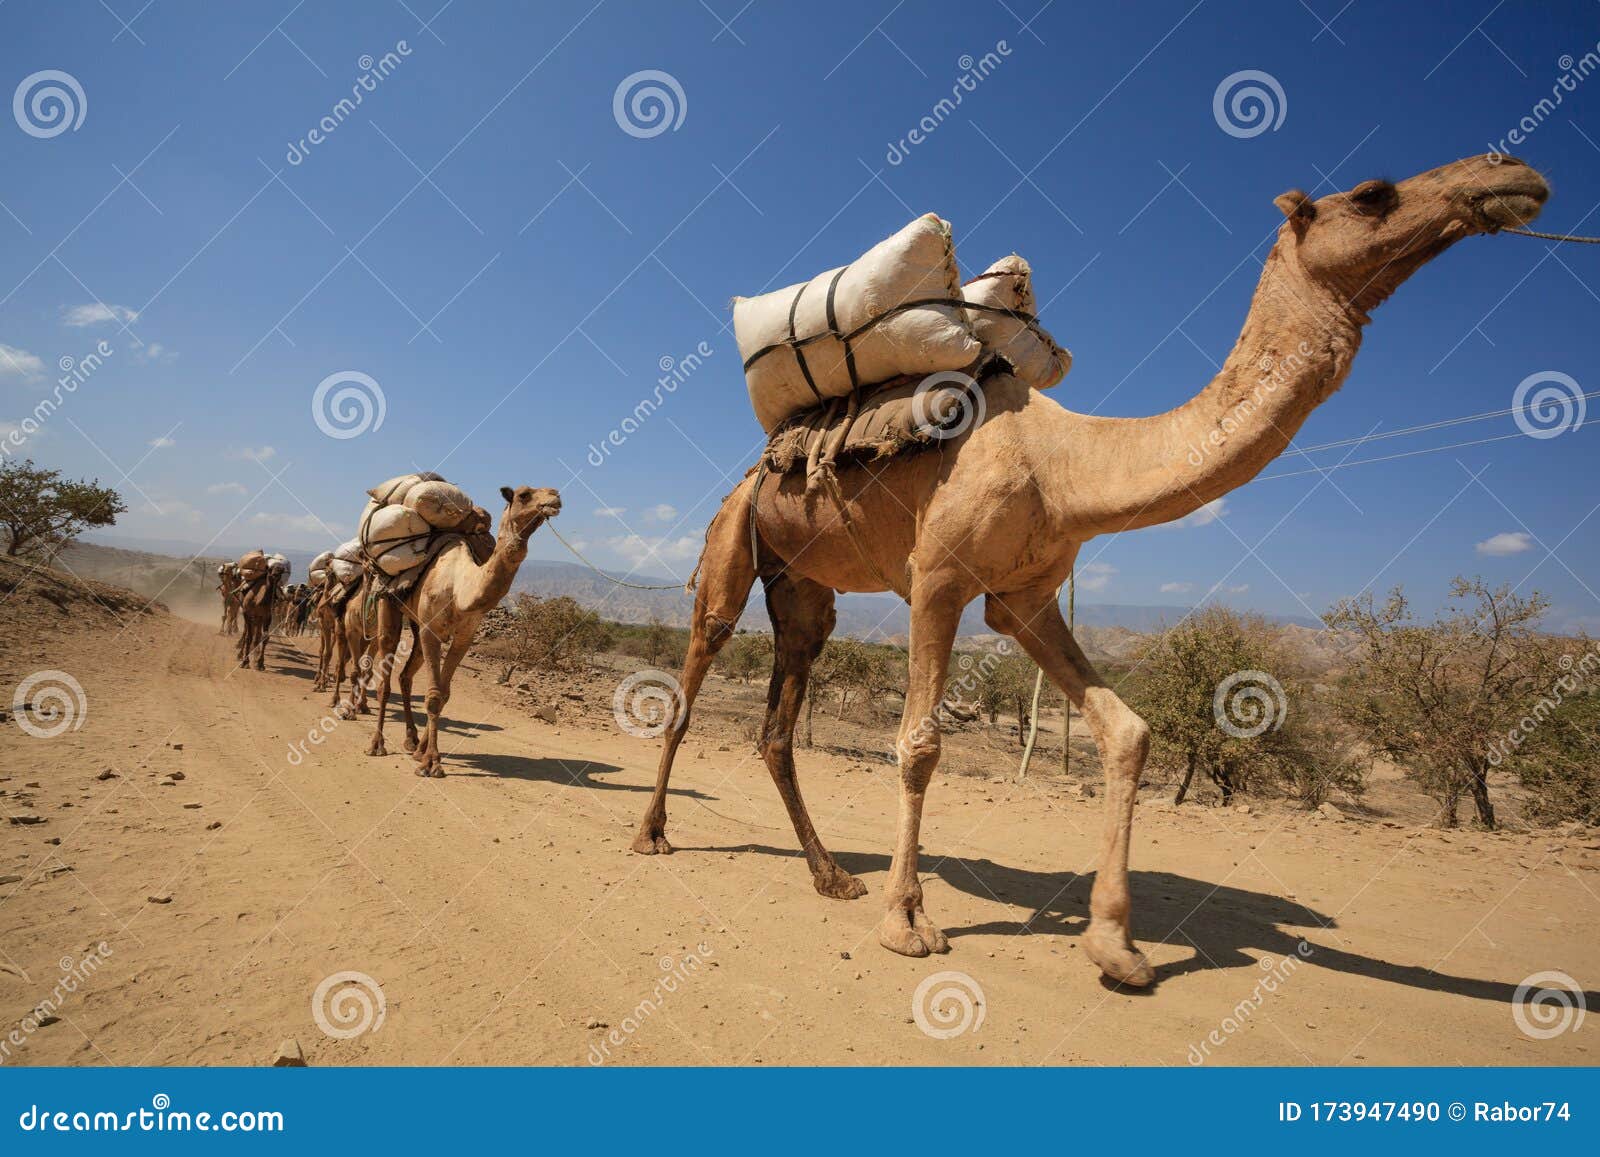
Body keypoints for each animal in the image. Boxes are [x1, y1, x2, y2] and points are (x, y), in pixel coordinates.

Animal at [364, 487, 561, 776]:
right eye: (524, 494)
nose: (556, 497)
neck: (460, 588)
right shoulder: (432, 632)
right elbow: (434, 696)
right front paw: (431, 763)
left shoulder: (463, 638)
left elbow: (444, 694)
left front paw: (424, 754)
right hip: (388, 602)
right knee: (385, 674)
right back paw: (376, 744)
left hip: (417, 627)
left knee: (406, 676)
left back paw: (411, 740)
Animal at [629, 154, 1551, 987]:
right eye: (1371, 193)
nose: (1513, 172)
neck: (1063, 462)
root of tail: (754, 469)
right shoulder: (938, 579)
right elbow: (920, 744)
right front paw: (908, 923)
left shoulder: (1024, 598)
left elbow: (1128, 730)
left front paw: (1116, 945)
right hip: (732, 545)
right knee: (696, 670)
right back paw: (652, 834)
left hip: (804, 587)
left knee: (780, 717)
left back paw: (829, 875)